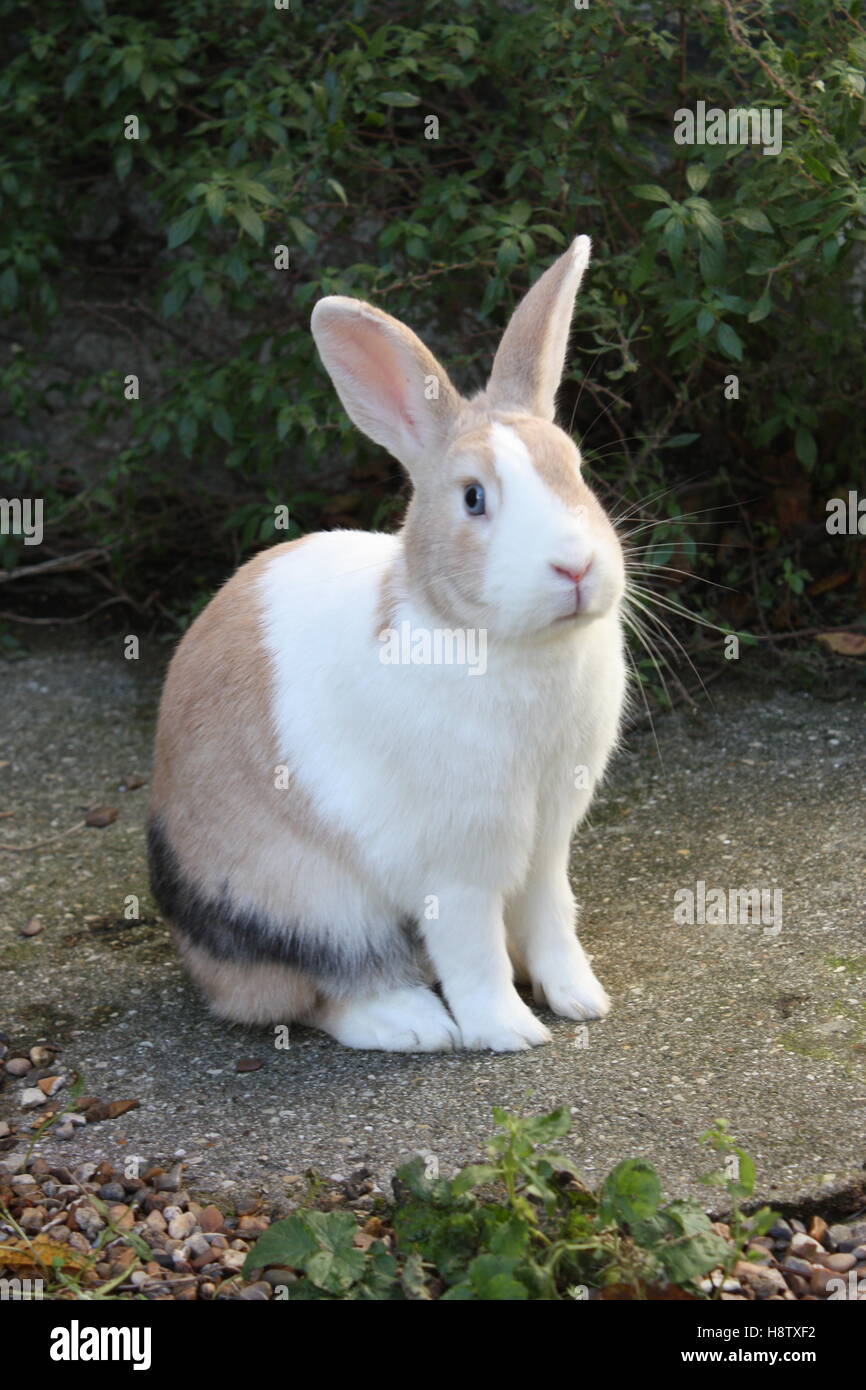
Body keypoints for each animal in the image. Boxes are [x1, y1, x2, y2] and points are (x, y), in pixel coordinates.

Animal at [148, 233, 628, 1052]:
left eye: (578, 470)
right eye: (473, 498)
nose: (575, 567)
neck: (497, 643)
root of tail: (192, 952)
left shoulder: (545, 844)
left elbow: (552, 920)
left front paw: (580, 1001)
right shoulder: (458, 864)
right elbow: (471, 951)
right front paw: (510, 1033)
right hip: (314, 903)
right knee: (315, 990)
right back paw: (415, 1024)